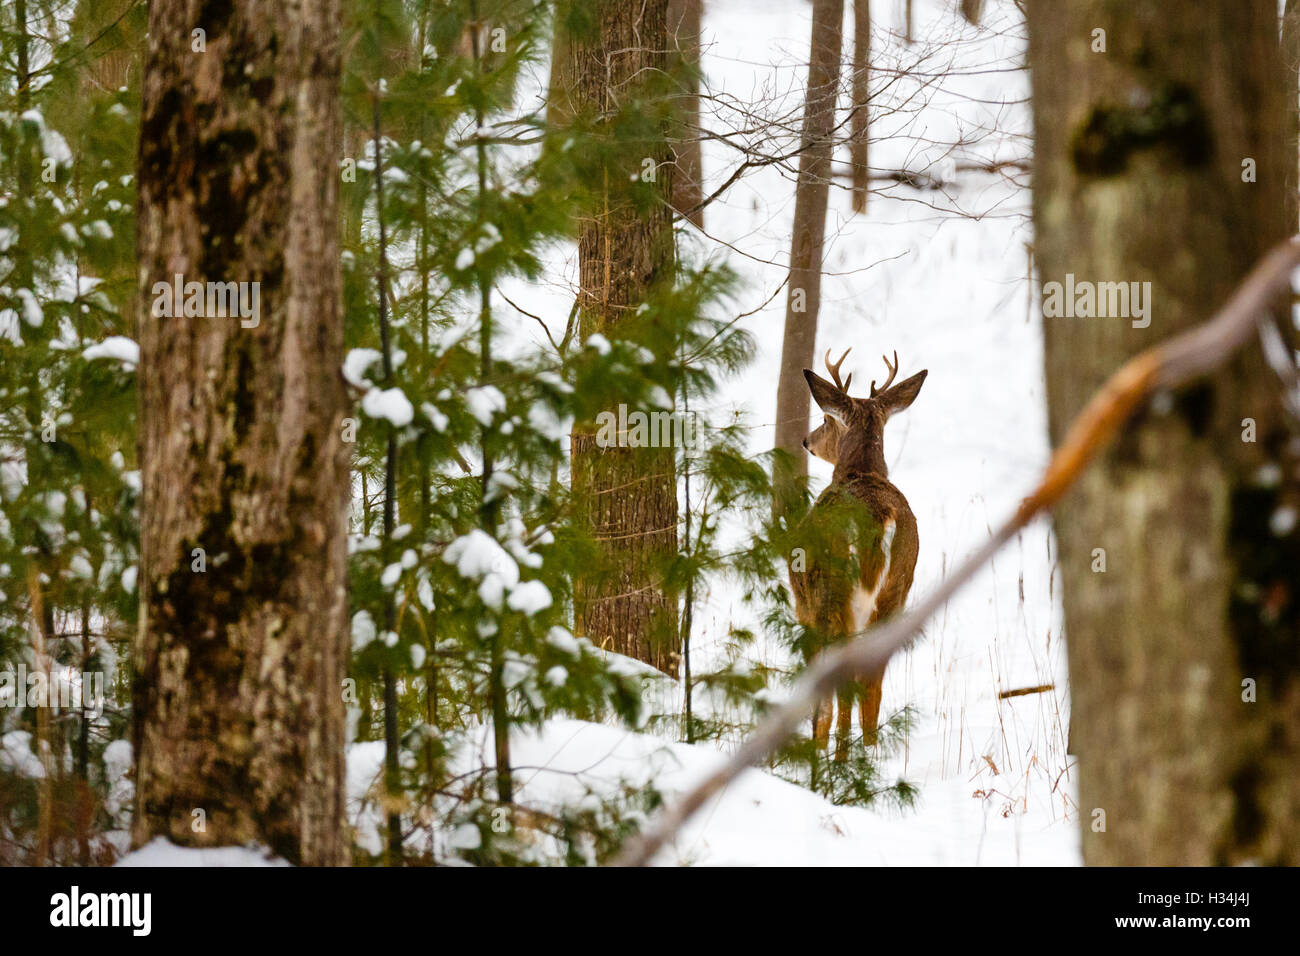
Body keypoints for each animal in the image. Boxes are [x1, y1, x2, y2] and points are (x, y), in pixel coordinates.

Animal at [789, 348, 926, 759]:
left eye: (825, 419)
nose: (807, 441)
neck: (860, 472)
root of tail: (880, 518)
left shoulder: (805, 608)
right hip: (897, 588)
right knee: (873, 680)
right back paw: (869, 751)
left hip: (833, 594)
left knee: (843, 681)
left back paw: (840, 757)